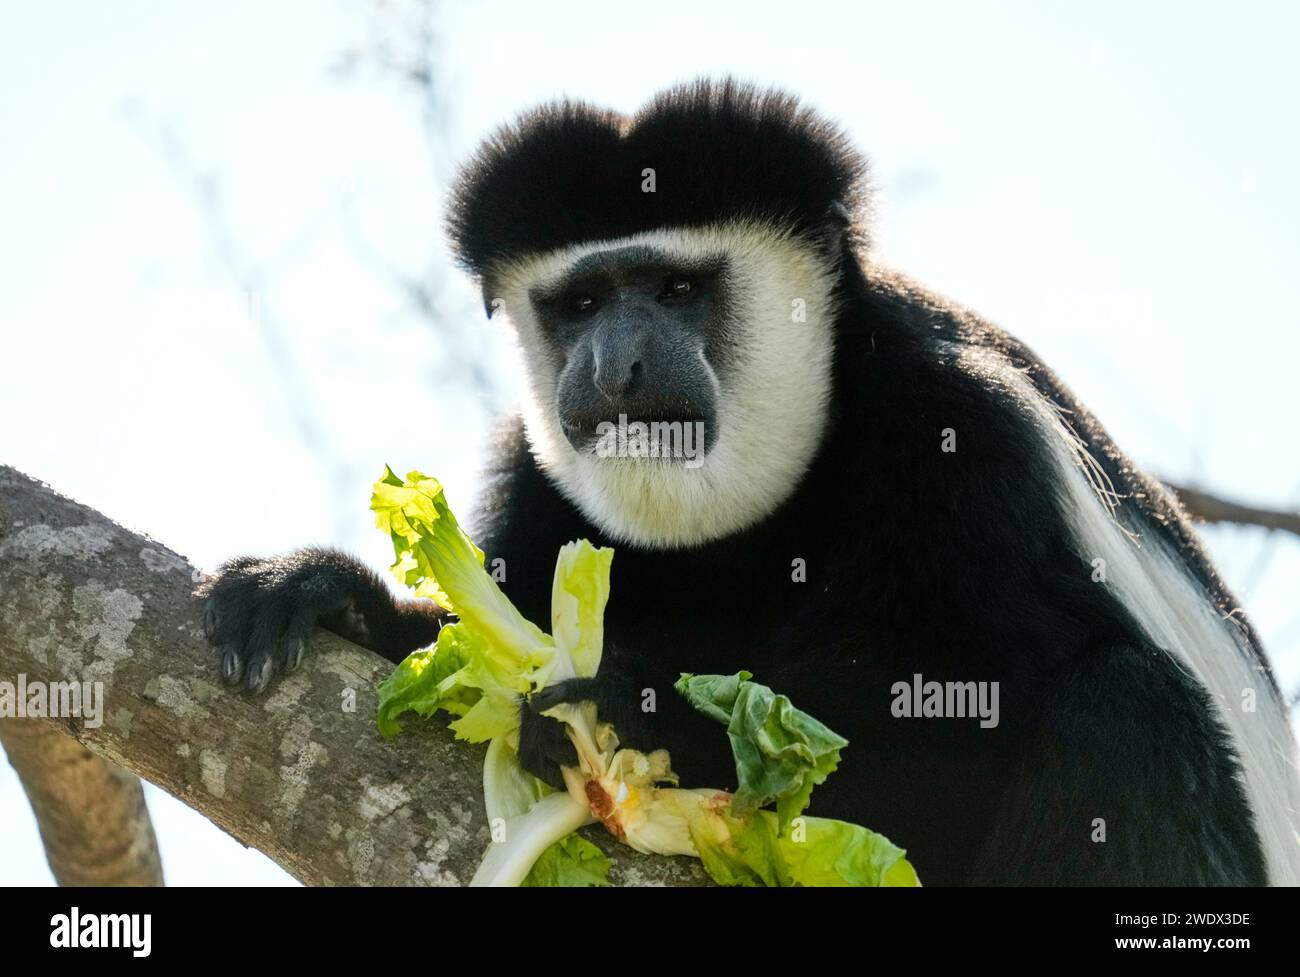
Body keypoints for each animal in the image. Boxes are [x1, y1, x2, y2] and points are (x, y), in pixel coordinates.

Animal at [198, 79, 1300, 885]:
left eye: (681, 288)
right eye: (581, 302)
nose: (616, 370)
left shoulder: (966, 443)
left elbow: (933, 734)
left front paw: (635, 710)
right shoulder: (530, 468)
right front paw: (329, 591)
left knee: (1128, 708)